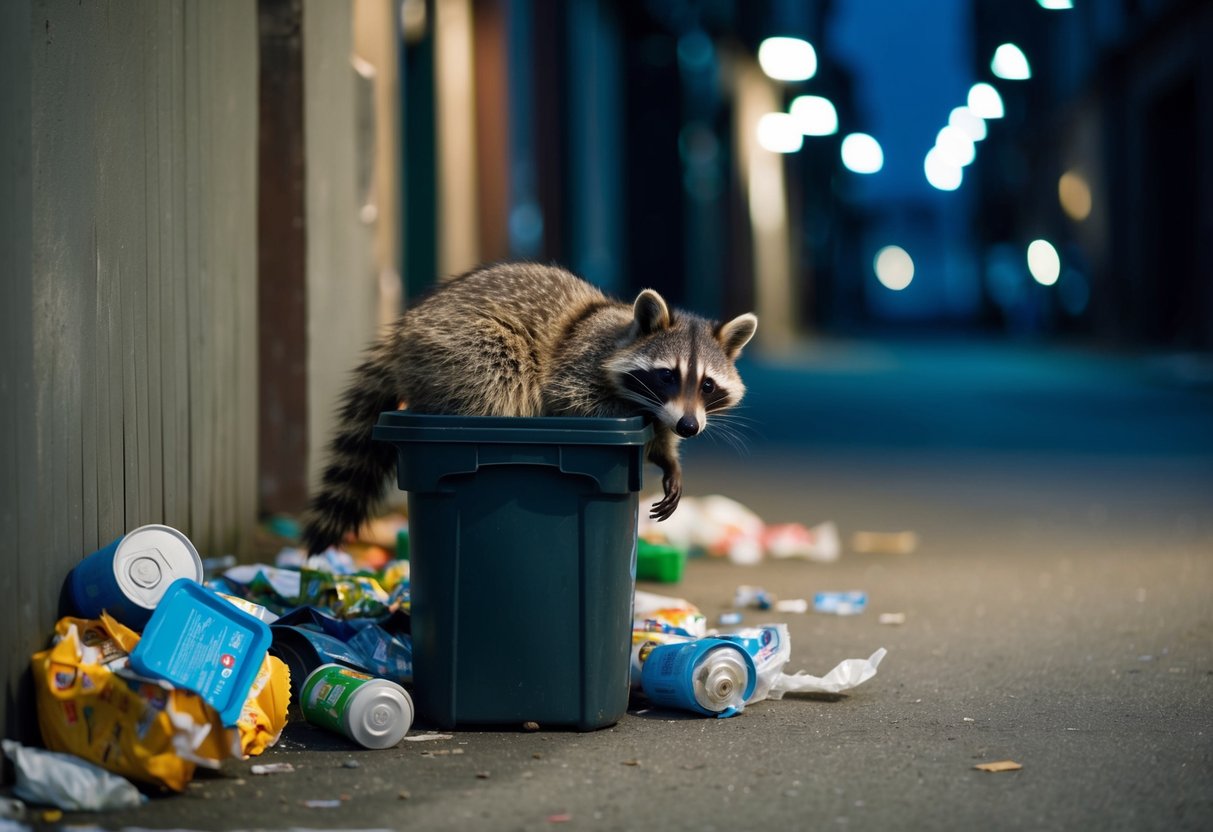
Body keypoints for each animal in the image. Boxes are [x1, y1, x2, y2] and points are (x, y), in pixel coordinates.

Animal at [301, 262, 757, 554]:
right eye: (667, 376)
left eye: (707, 385)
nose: (689, 427)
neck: (623, 331)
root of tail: (403, 331)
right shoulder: (580, 361)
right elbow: (570, 400)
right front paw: (644, 425)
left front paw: (668, 455)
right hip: (457, 346)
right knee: (496, 371)